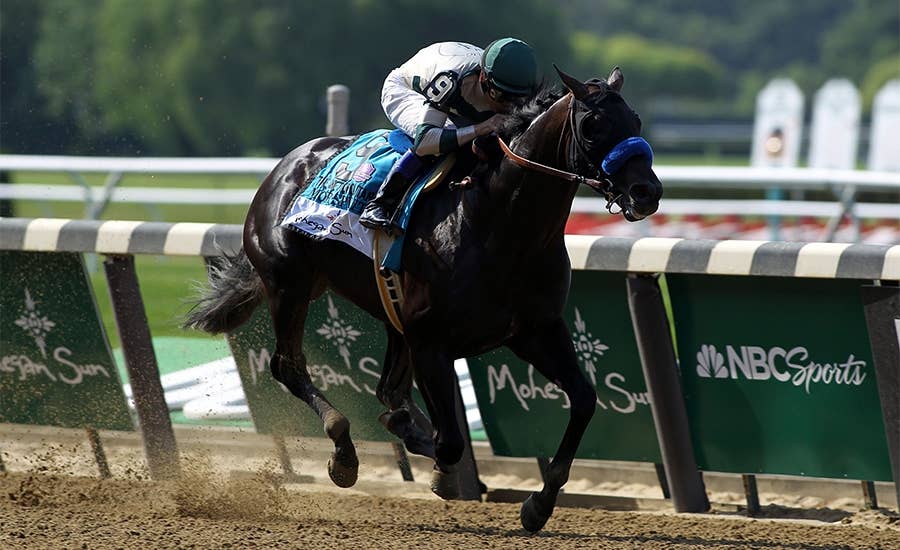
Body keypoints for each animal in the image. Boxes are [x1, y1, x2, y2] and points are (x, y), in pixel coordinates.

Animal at [185, 66, 662, 532]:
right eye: (592, 125)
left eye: (636, 121)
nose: (647, 192)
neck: (499, 225)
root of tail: (283, 169)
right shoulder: (432, 344)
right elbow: (449, 442)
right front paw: (441, 473)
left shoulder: (535, 329)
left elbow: (583, 399)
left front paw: (538, 505)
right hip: (290, 286)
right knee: (288, 366)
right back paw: (344, 454)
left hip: (387, 314)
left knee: (387, 390)